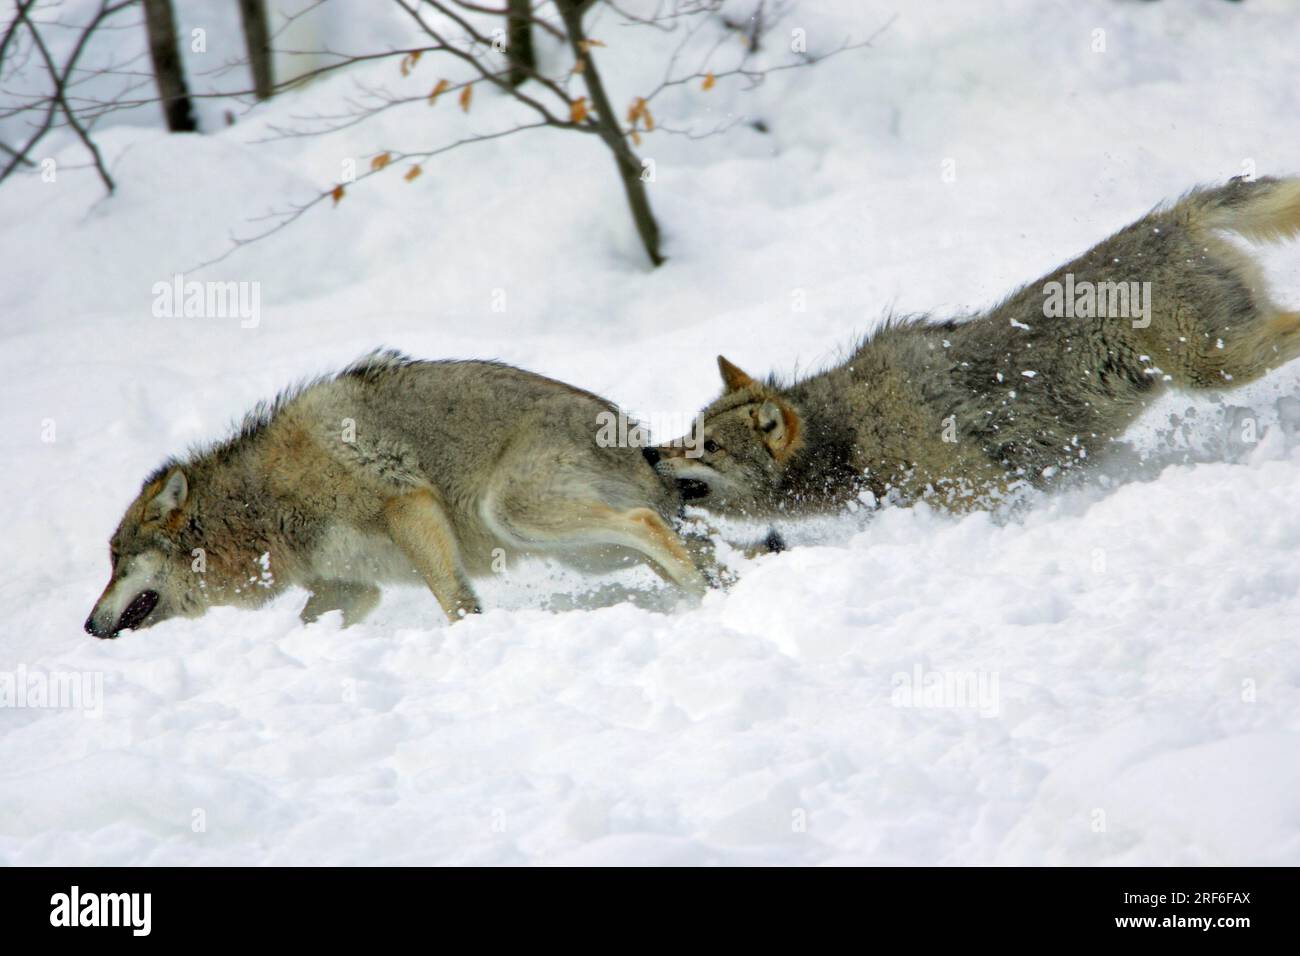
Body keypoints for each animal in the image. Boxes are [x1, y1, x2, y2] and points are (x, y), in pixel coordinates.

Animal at [85, 351, 711, 638]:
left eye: (118, 563)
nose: (89, 626)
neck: (262, 503)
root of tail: (637, 440)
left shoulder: (412, 511)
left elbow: (455, 602)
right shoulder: (350, 588)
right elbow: (308, 625)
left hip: (516, 516)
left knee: (647, 522)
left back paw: (702, 597)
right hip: (590, 556)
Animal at [653, 176, 1300, 518]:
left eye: (708, 446)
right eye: (689, 432)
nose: (651, 454)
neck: (848, 432)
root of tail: (1176, 217)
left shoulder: (985, 495)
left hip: (1217, 366)